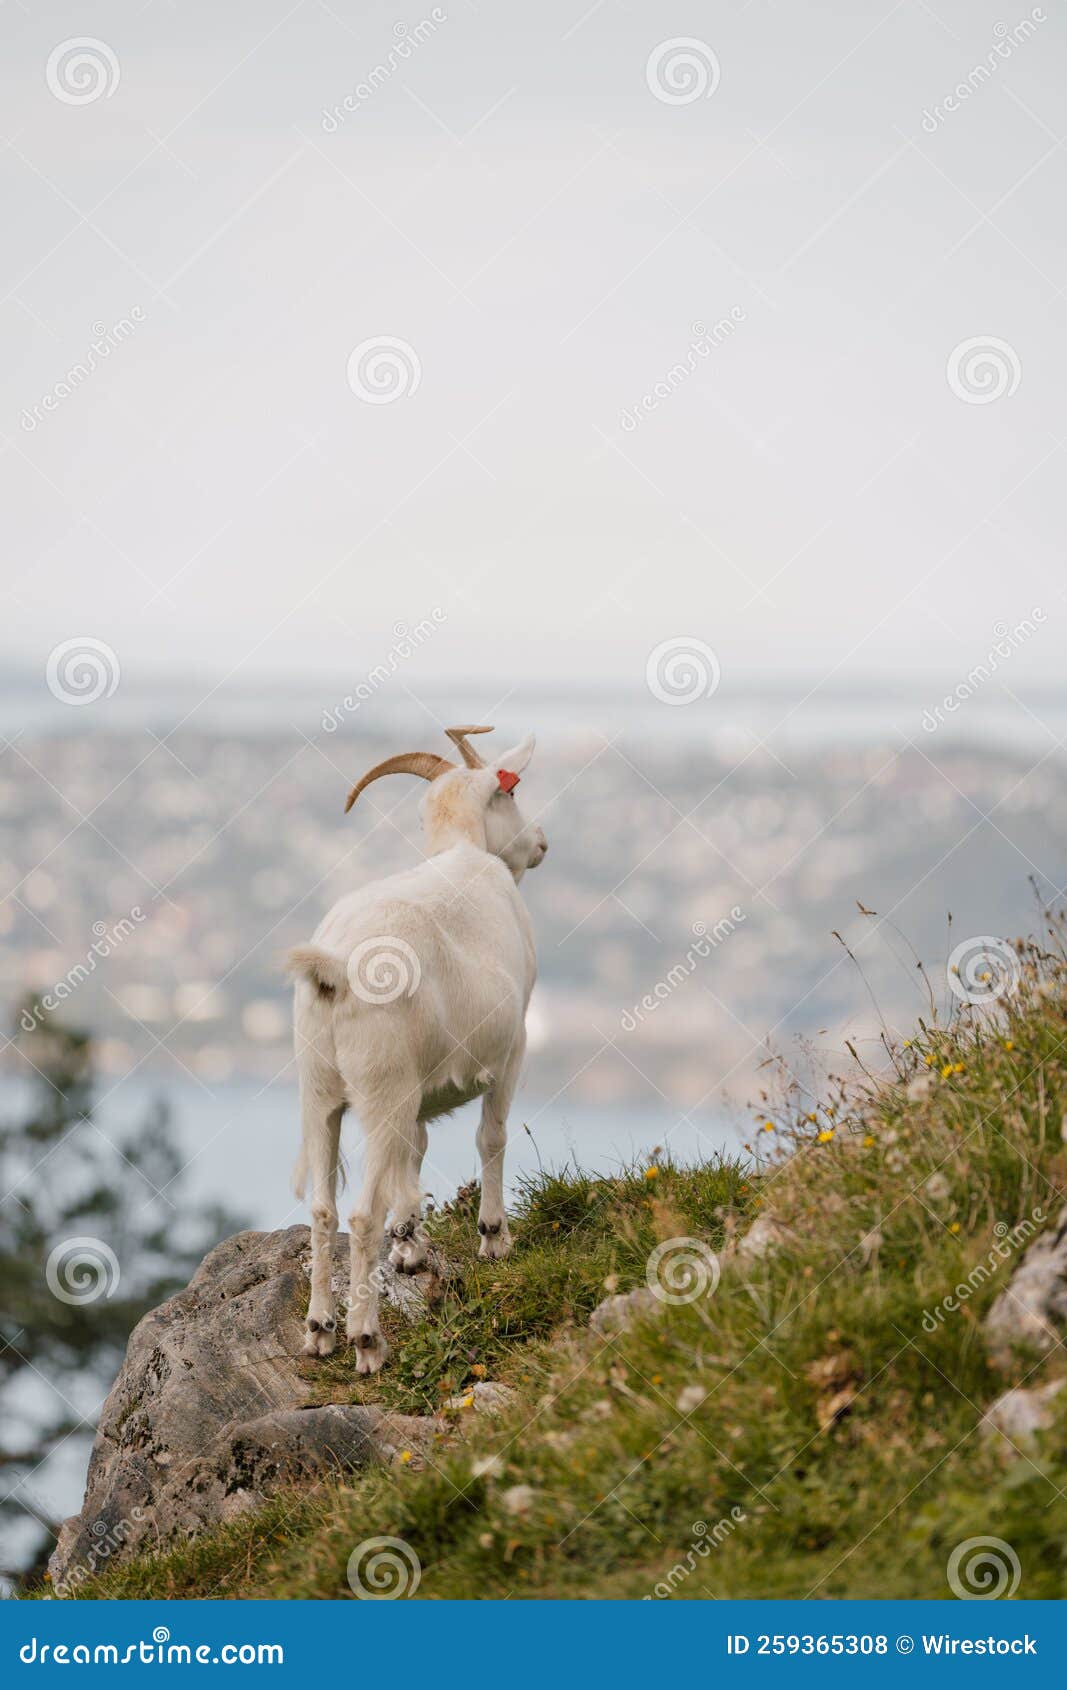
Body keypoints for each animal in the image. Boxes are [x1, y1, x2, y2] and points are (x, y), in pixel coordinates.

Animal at [286, 724, 548, 1371]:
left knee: (325, 1210)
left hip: (320, 1091)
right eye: (512, 793)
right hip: (383, 1092)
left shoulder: (419, 1089)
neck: (465, 851)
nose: (541, 843)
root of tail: (334, 970)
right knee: (360, 1214)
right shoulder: (513, 1046)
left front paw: (410, 1247)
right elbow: (491, 1136)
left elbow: (417, 1153)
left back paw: (321, 1329)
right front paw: (494, 1237)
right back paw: (367, 1341)